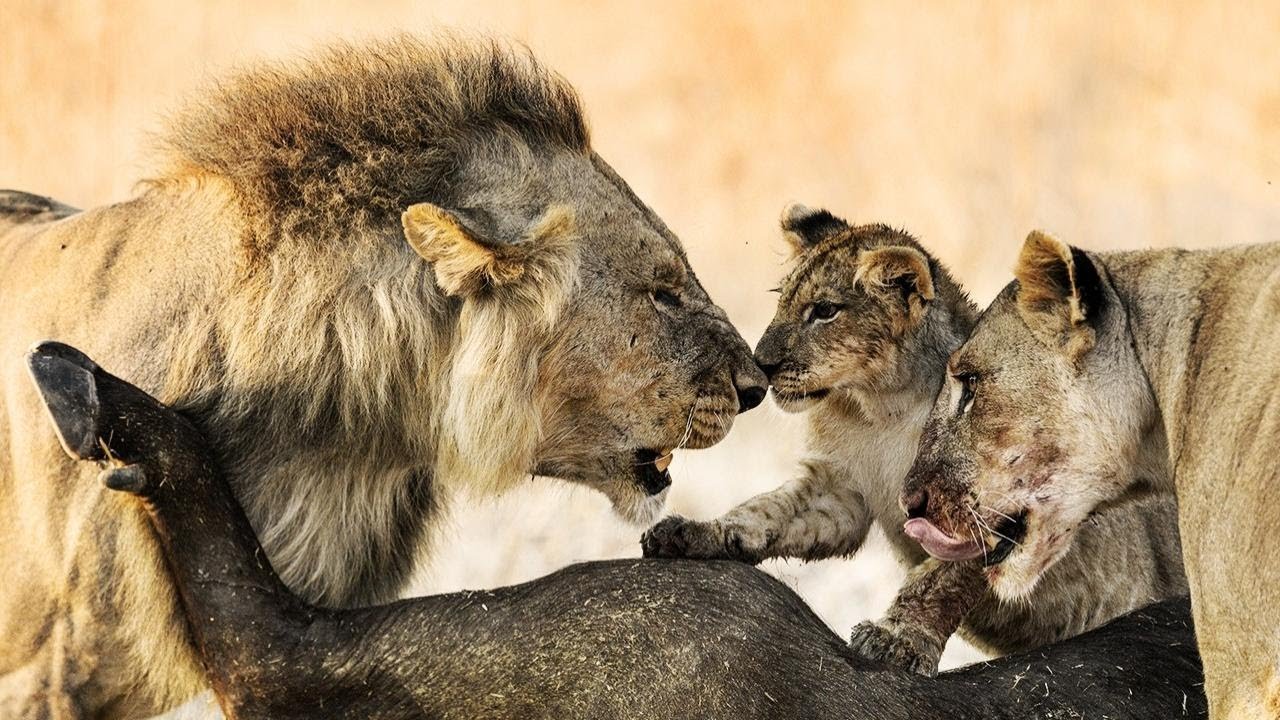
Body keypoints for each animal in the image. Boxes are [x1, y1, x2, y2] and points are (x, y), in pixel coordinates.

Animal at [643, 205, 1186, 674]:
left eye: (825, 311)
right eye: (783, 300)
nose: (764, 364)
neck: (880, 407)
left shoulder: (994, 498)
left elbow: (938, 581)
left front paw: (896, 639)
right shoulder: (840, 489)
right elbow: (765, 512)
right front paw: (696, 532)